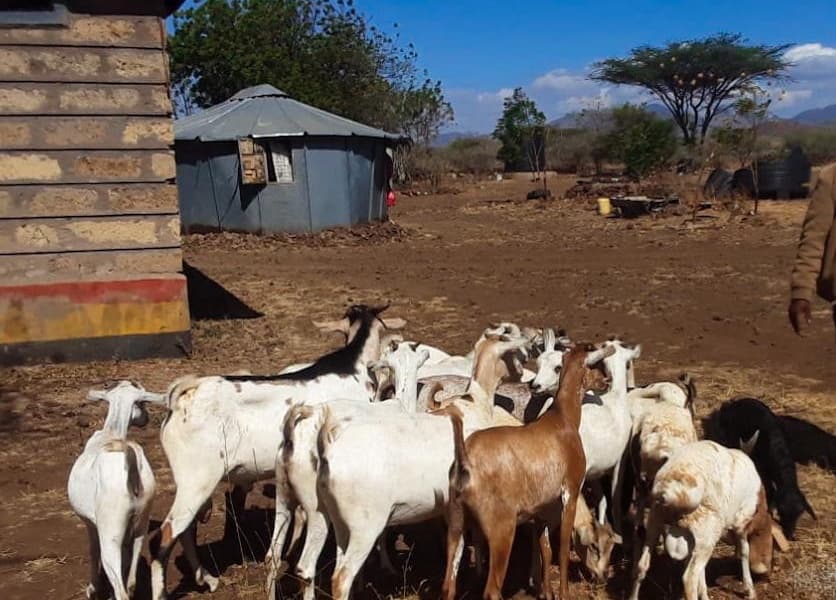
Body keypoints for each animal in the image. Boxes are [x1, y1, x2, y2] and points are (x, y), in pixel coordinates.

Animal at [68, 381, 164, 600]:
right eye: (141, 403)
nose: (147, 419)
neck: (111, 433)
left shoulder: (90, 523)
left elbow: (93, 551)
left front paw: (93, 588)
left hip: (110, 530)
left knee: (121, 588)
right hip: (141, 522)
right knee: (131, 581)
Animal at [150, 304, 404, 600]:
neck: (352, 368)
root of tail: (183, 397)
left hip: (191, 482)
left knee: (186, 531)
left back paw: (209, 580)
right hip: (197, 479)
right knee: (164, 537)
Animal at [442, 344, 614, 600]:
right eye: (593, 364)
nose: (606, 381)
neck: (561, 419)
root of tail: (465, 461)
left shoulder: (541, 509)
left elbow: (546, 550)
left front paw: (547, 593)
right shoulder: (571, 492)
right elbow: (563, 548)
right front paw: (563, 593)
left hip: (456, 523)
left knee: (448, 586)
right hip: (502, 530)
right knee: (491, 590)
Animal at [629, 441, 788, 600]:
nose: (767, 574)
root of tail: (671, 491)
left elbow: (702, 570)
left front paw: (704, 593)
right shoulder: (741, 522)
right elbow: (744, 552)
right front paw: (749, 589)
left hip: (655, 523)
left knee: (642, 565)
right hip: (706, 531)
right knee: (689, 579)